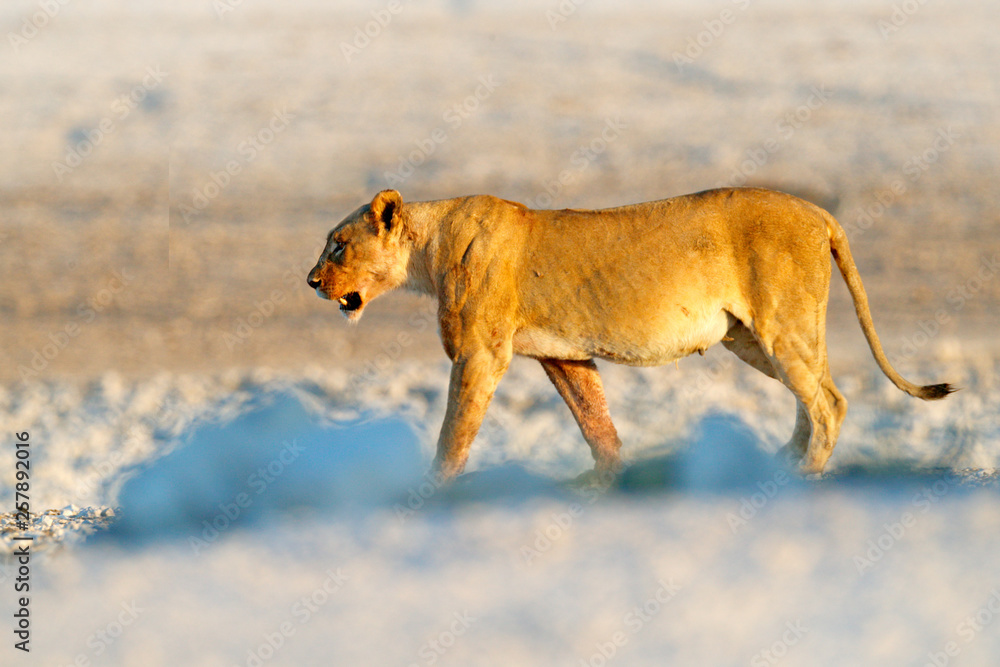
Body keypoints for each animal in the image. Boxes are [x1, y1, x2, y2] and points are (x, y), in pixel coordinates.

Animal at [307, 187, 953, 481]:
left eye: (338, 245)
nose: (311, 280)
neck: (428, 249)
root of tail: (819, 212)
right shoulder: (562, 356)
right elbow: (597, 424)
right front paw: (604, 482)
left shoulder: (479, 355)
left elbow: (453, 434)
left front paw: (433, 489)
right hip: (749, 337)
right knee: (813, 395)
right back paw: (777, 465)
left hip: (780, 327)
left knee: (829, 401)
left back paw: (802, 476)